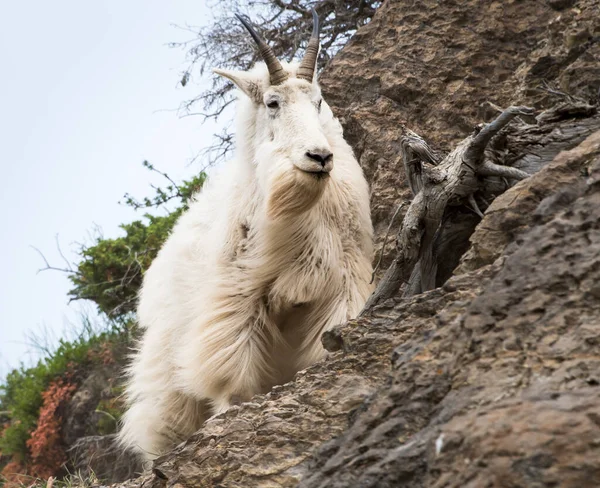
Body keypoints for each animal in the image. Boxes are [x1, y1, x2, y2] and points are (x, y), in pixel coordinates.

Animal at [118, 11, 372, 462]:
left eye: (317, 101)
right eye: (272, 103)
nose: (319, 157)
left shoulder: (340, 284)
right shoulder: (236, 299)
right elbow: (231, 375)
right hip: (165, 362)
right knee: (165, 420)